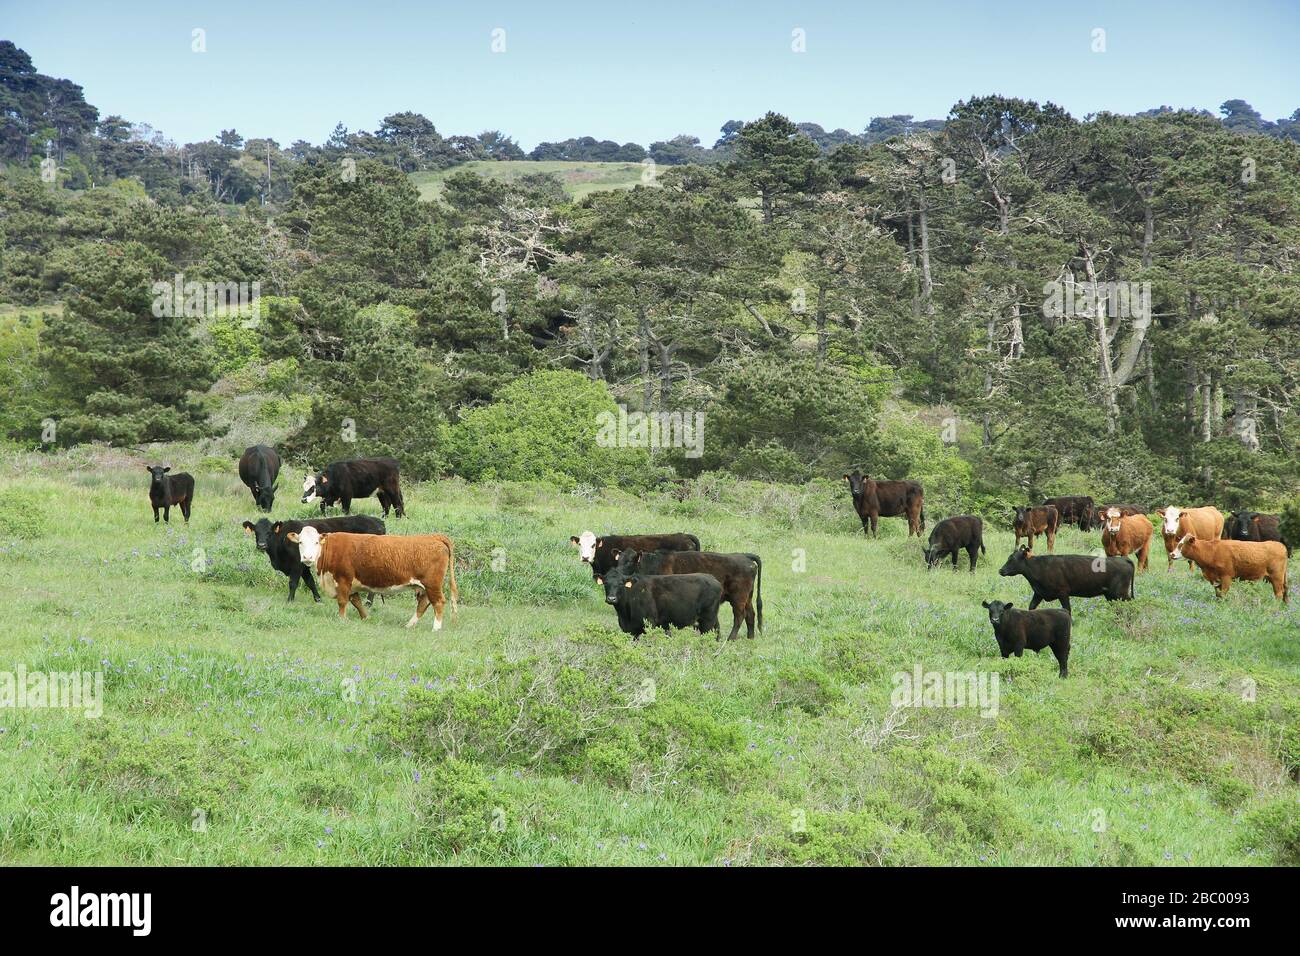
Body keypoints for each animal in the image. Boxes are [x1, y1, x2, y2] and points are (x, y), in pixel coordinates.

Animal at [242, 515, 385, 601]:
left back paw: (368, 602)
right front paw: (318, 600)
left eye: (269, 532)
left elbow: (293, 583)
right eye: (256, 532)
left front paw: (289, 600)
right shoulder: (304, 566)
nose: (261, 545)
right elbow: (310, 582)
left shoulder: (296, 565)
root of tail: (377, 521)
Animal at [287, 527, 457, 627]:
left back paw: (436, 628)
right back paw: (409, 625)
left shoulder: (343, 579)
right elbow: (356, 601)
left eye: (316, 542)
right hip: (424, 586)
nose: (307, 557)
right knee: (424, 603)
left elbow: (343, 601)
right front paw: (365, 618)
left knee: (438, 602)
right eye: (300, 542)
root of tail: (434, 537)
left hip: (432, 583)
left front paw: (342, 619)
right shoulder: (351, 584)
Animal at [615, 548, 762, 641]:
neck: (653, 564)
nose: (617, 572)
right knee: (750, 614)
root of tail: (743, 556)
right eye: (618, 560)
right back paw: (750, 638)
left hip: (738, 597)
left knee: (740, 616)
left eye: (629, 561)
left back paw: (731, 638)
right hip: (748, 597)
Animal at [998, 546, 1134, 614]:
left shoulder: (1063, 592)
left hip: (1120, 593)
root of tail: (1123, 559)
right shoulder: (1039, 593)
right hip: (1110, 595)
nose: (1000, 570)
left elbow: (1067, 610)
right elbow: (1031, 607)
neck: (1040, 567)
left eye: (1012, 559)